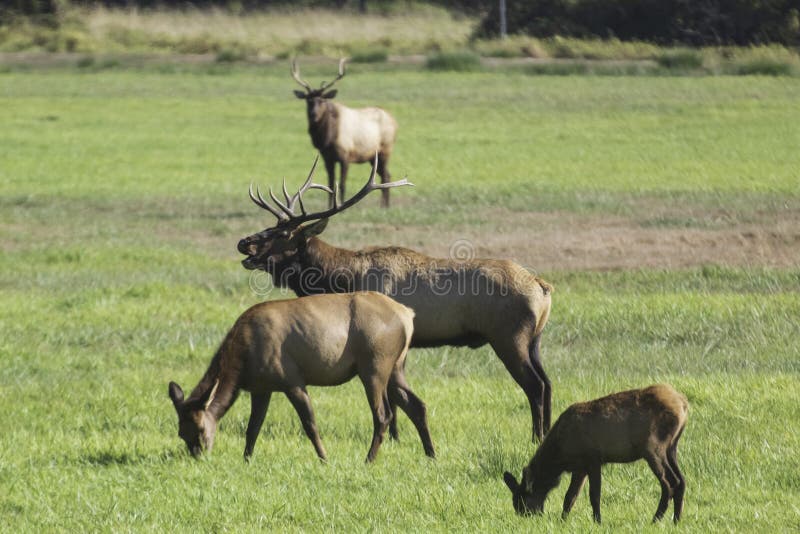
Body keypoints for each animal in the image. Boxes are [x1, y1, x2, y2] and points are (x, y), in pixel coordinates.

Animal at [168, 291, 435, 463]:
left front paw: (325, 459)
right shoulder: (261, 387)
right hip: (396, 367)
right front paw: (246, 460)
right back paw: (431, 454)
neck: (241, 363)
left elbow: (310, 424)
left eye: (200, 429)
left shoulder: (292, 379)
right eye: (181, 433)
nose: (198, 457)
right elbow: (253, 427)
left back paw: (368, 460)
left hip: (374, 365)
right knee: (417, 405)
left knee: (383, 414)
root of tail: (407, 315)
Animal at [237, 156, 554, 444]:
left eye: (283, 233)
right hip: (534, 340)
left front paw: (394, 438)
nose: (244, 242)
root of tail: (543, 287)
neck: (341, 279)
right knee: (548, 383)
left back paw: (535, 437)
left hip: (509, 337)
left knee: (535, 386)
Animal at [291, 58, 398, 208]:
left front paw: (342, 206)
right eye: (308, 100)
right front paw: (329, 206)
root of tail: (394, 121)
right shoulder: (327, 158)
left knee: (386, 176)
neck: (327, 138)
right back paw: (384, 205)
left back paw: (385, 206)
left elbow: (342, 184)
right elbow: (330, 184)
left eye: (322, 100)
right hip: (372, 157)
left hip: (385, 150)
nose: (313, 115)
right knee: (386, 175)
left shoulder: (345, 156)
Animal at [503, 384, 689, 524]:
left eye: (523, 505)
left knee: (669, 482)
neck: (561, 455)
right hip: (672, 447)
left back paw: (655, 519)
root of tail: (683, 404)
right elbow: (570, 496)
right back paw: (676, 520)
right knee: (681, 480)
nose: (529, 518)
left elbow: (594, 495)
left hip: (653, 446)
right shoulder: (580, 467)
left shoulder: (592, 458)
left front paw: (598, 521)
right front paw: (563, 521)